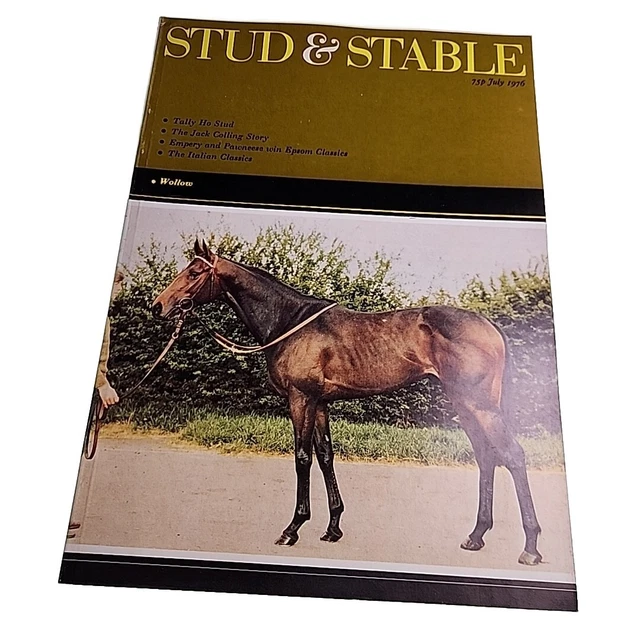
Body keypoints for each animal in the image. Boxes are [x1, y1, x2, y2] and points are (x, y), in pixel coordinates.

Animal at [152, 239, 542, 565]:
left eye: (195, 272)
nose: (159, 306)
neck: (289, 322)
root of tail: (489, 325)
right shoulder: (321, 403)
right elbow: (325, 456)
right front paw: (333, 527)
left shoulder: (301, 399)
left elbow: (302, 458)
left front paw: (293, 528)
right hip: (464, 405)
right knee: (486, 457)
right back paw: (476, 536)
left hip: (480, 405)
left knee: (512, 455)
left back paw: (530, 548)